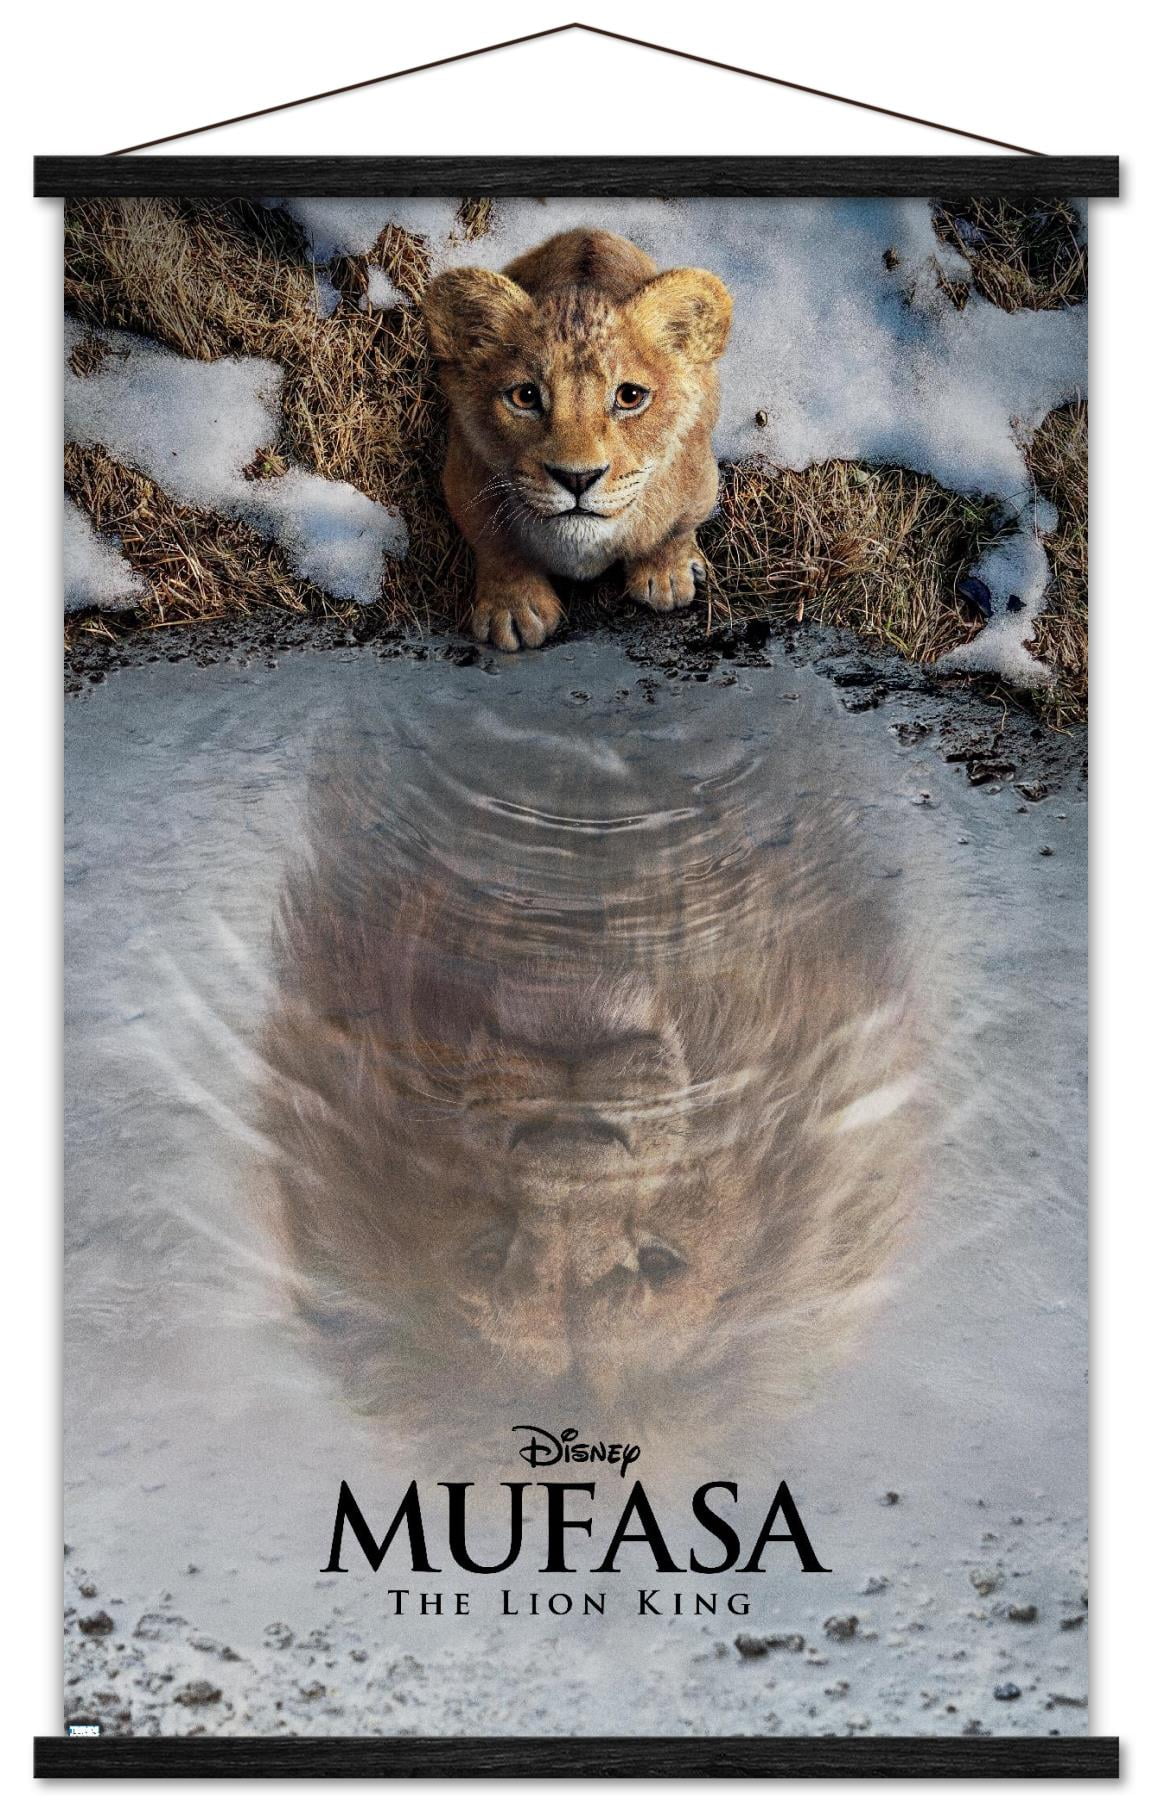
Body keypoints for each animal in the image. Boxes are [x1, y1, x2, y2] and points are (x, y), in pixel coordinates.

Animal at [422, 229, 733, 652]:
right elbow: (495, 545)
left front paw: (667, 576)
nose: (577, 478)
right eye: (525, 397)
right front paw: (514, 609)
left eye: (630, 396)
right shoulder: (464, 476)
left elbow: (674, 529)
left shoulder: (699, 477)